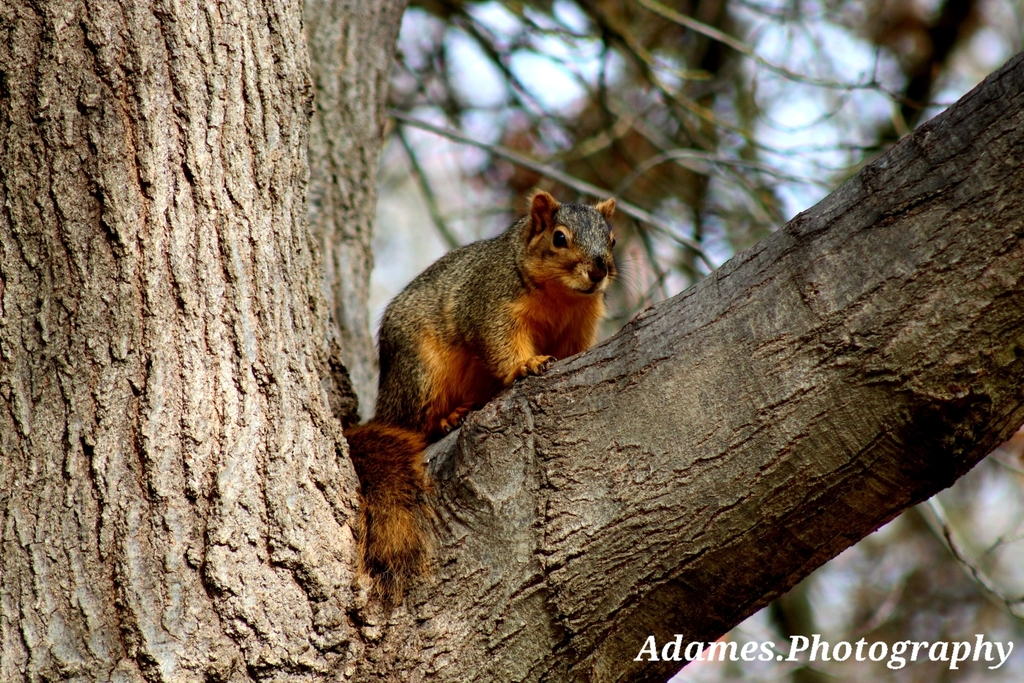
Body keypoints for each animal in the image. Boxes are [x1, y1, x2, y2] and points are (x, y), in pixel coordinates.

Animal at [344, 190, 616, 600]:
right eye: (559, 238)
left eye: (612, 239)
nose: (599, 269)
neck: (562, 298)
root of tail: (385, 404)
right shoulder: (493, 304)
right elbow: (502, 343)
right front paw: (527, 365)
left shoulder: (580, 324)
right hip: (421, 372)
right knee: (414, 423)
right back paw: (447, 418)